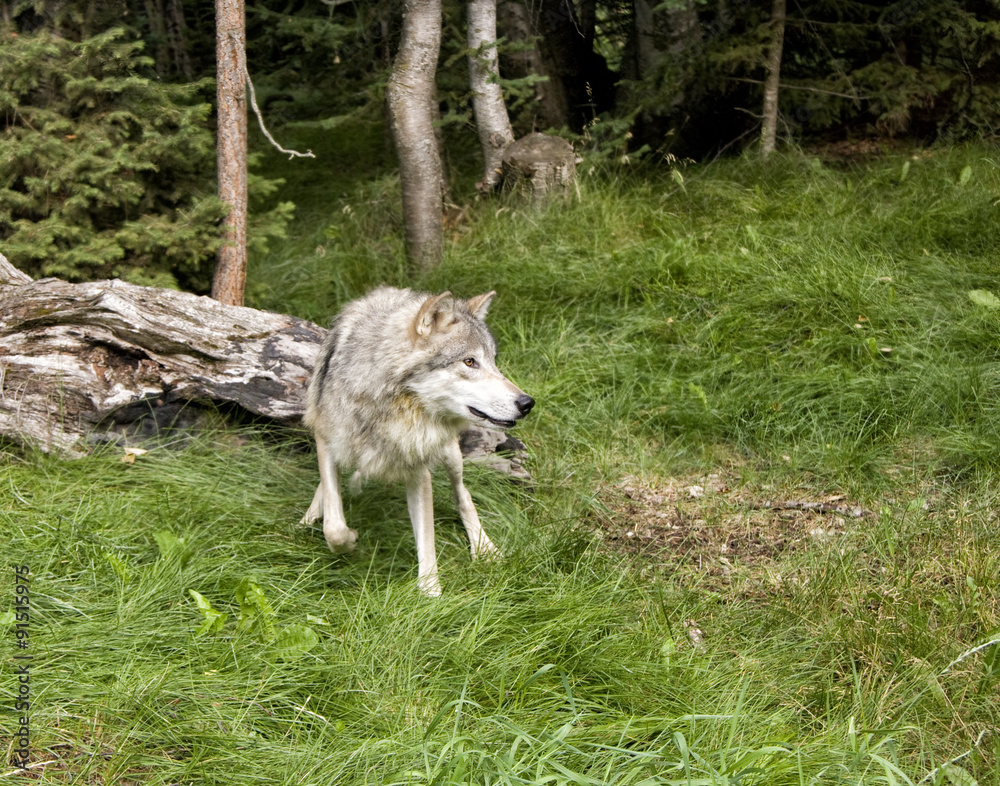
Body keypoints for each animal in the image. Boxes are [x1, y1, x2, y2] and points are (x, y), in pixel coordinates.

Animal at [301, 287, 534, 596]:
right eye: (469, 361)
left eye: (494, 361)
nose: (527, 403)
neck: (391, 406)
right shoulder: (326, 438)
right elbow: (334, 526)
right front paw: (348, 537)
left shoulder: (419, 466)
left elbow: (427, 537)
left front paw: (431, 592)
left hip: (450, 454)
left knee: (463, 496)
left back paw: (485, 549)